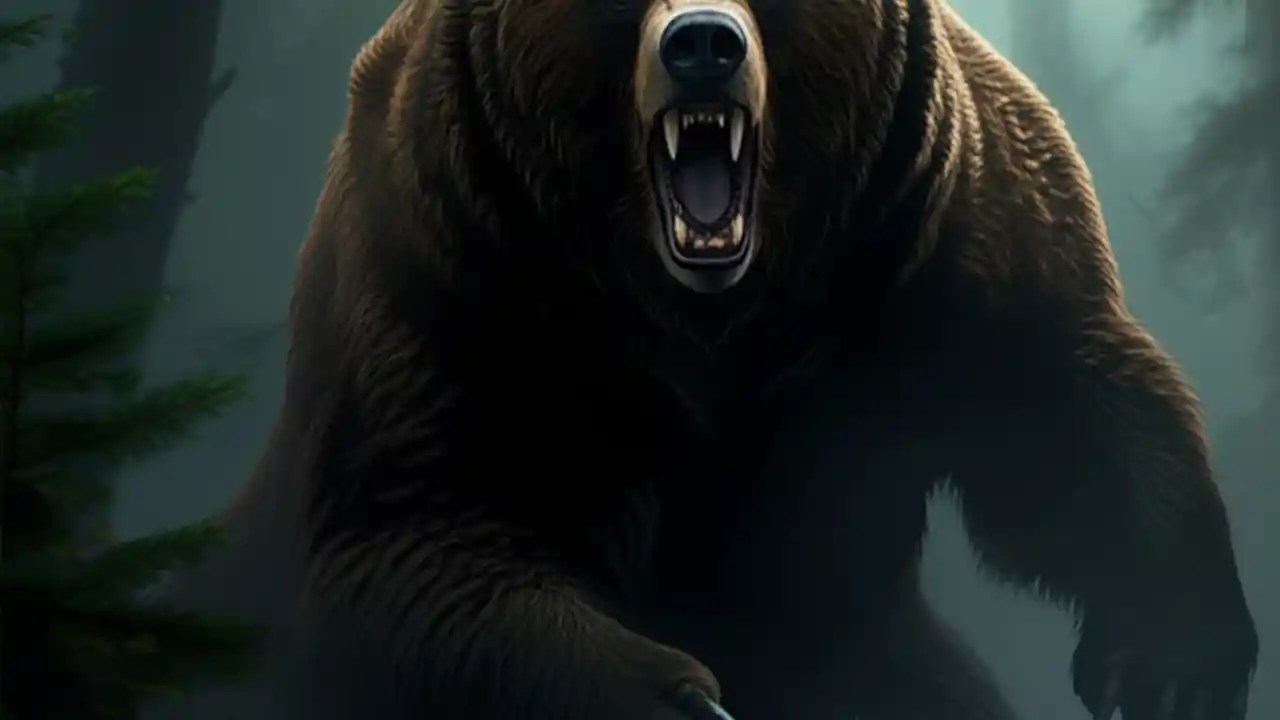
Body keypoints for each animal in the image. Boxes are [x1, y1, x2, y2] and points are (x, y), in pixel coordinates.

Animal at [162, 0, 1259, 718]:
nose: (702, 45)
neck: (711, 312)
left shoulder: (926, 232)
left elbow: (1058, 408)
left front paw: (1173, 663)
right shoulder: (455, 268)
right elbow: (423, 530)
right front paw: (676, 693)